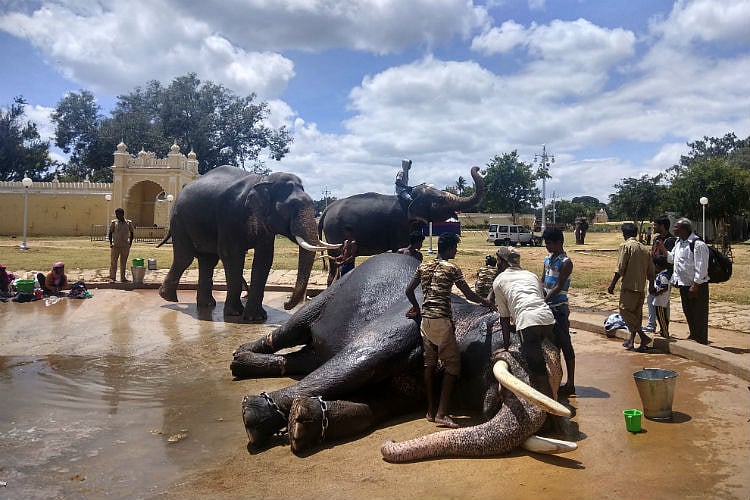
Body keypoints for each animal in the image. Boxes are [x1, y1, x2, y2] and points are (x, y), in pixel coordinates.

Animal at [157, 165, 337, 322]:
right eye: (290, 207)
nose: (286, 304)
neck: (263, 180)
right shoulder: (230, 215)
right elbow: (232, 255)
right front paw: (235, 314)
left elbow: (264, 257)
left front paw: (256, 318)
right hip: (179, 222)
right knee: (185, 258)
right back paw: (169, 297)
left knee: (208, 260)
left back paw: (206, 304)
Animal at [231, 253, 576, 461]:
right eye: (516, 338)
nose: (390, 444)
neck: (467, 312)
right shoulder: (404, 322)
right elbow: (357, 362)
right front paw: (254, 417)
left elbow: (378, 405)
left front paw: (302, 422)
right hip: (333, 291)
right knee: (294, 331)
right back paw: (239, 359)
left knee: (305, 358)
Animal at [318, 166, 484, 284]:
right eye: (440, 200)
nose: (477, 168)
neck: (412, 197)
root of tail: (326, 210)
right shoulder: (400, 225)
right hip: (334, 233)